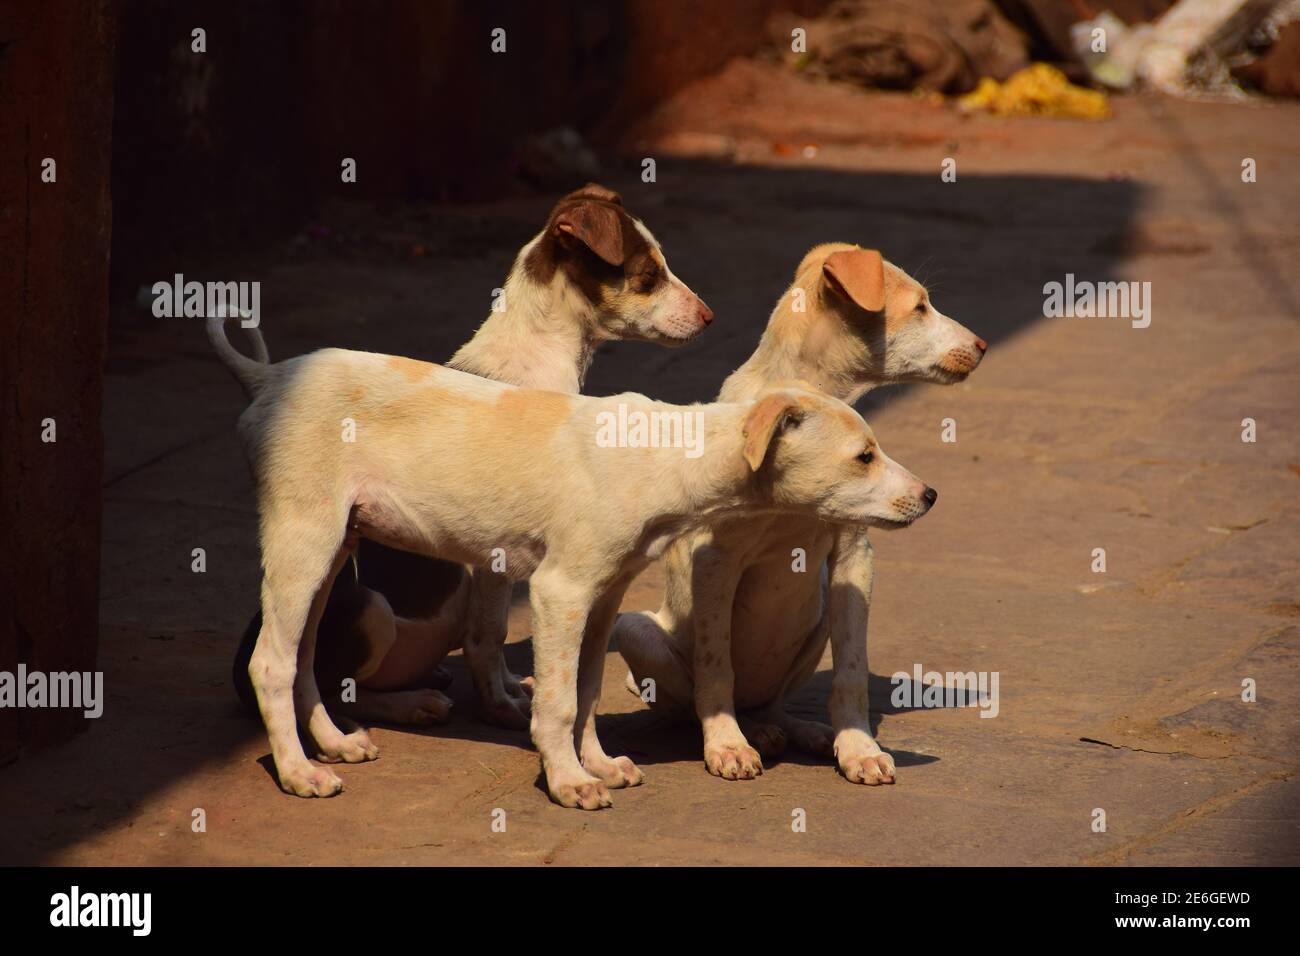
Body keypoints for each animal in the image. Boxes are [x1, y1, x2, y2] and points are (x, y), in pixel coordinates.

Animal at [226, 184, 712, 733]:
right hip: (355, 593)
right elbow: (489, 638)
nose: (709, 316)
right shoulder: (496, 560)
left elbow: (495, 644)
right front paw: (500, 707)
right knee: (331, 686)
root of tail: (265, 380)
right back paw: (410, 705)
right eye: (648, 275)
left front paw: (511, 690)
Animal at [616, 244, 982, 785]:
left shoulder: (853, 559)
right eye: (920, 307)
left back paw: (800, 732)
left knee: (770, 706)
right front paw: (726, 746)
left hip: (820, 609)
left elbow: (851, 672)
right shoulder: (714, 564)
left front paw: (859, 748)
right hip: (636, 631)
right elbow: (715, 667)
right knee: (698, 703)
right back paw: (746, 733)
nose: (982, 345)